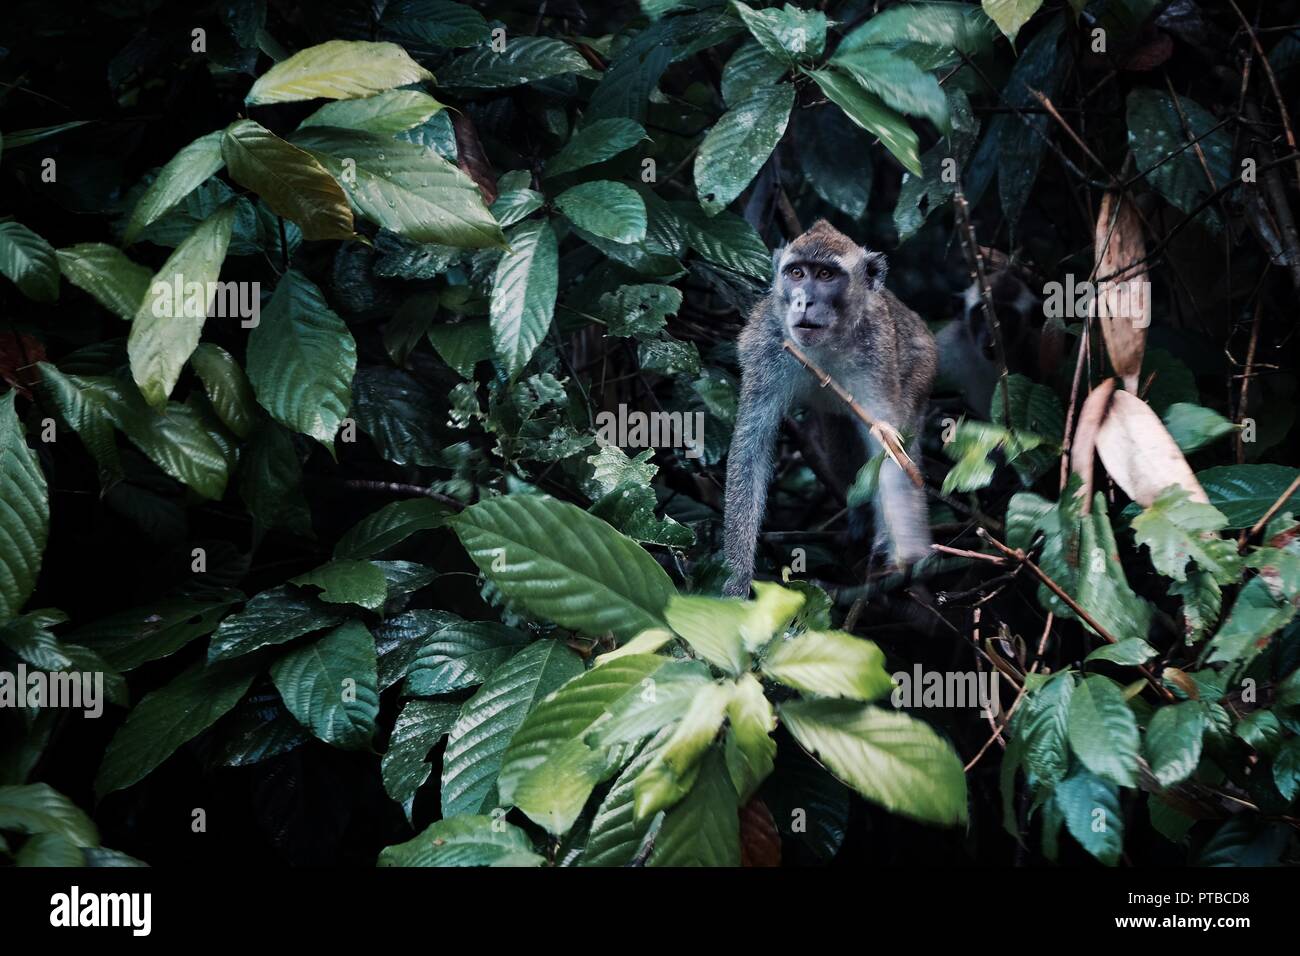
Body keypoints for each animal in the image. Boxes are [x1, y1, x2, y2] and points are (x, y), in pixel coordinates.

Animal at [722, 220, 937, 597]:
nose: (803, 301)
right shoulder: (764, 347)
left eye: (825, 274)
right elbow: (751, 450)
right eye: (796, 272)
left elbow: (890, 449)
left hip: (922, 369)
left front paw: (901, 552)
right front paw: (735, 585)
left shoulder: (876, 352)